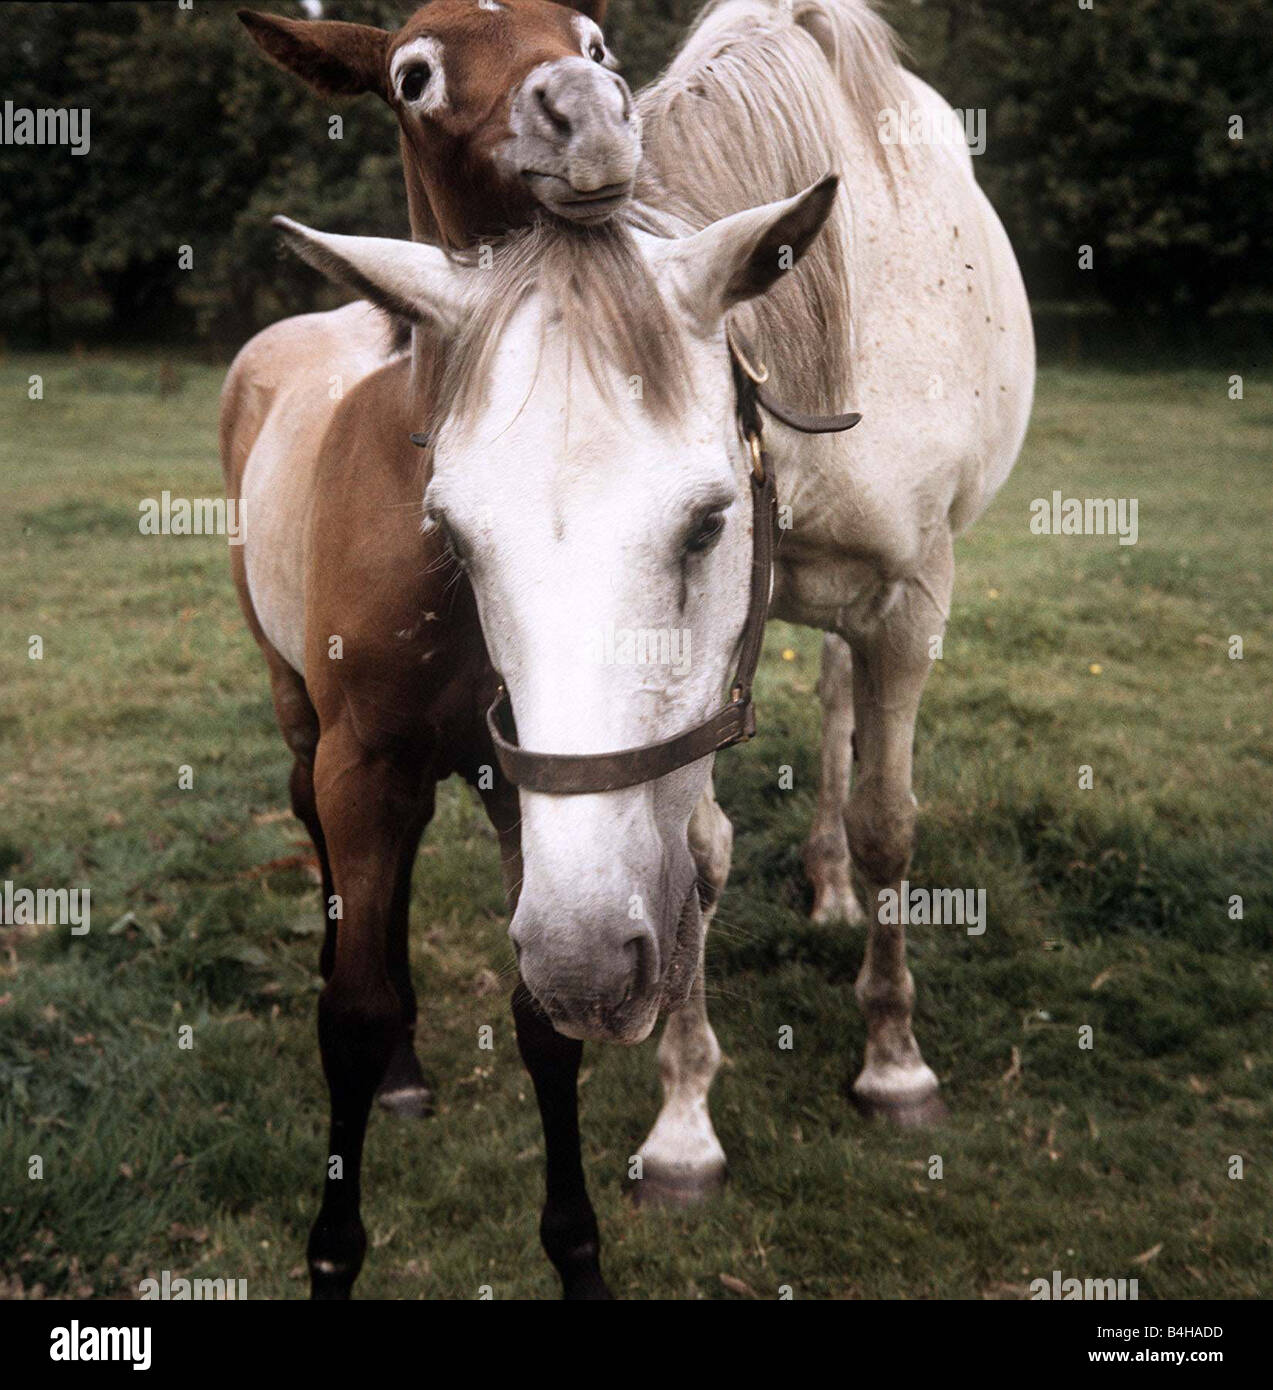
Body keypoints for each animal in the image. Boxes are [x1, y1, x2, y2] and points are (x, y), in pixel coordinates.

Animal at [272, 0, 1034, 1295]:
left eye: (707, 521)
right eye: (454, 536)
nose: (577, 963)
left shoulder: (909, 598)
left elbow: (891, 823)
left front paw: (894, 1061)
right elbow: (703, 857)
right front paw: (684, 1126)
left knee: (844, 716)